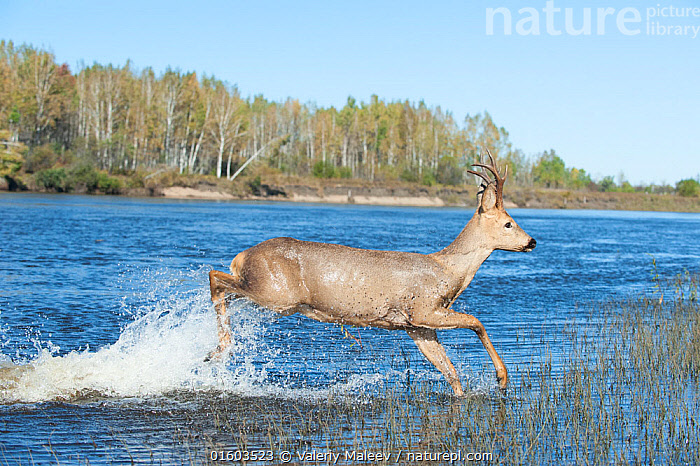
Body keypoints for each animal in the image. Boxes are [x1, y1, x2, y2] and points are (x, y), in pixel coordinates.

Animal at [207, 152, 536, 396]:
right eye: (508, 223)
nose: (531, 241)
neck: (448, 272)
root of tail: (243, 255)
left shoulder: (416, 326)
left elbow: (450, 372)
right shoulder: (424, 309)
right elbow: (477, 322)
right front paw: (502, 378)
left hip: (267, 296)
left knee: (225, 288)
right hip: (275, 293)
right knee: (214, 276)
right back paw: (219, 348)